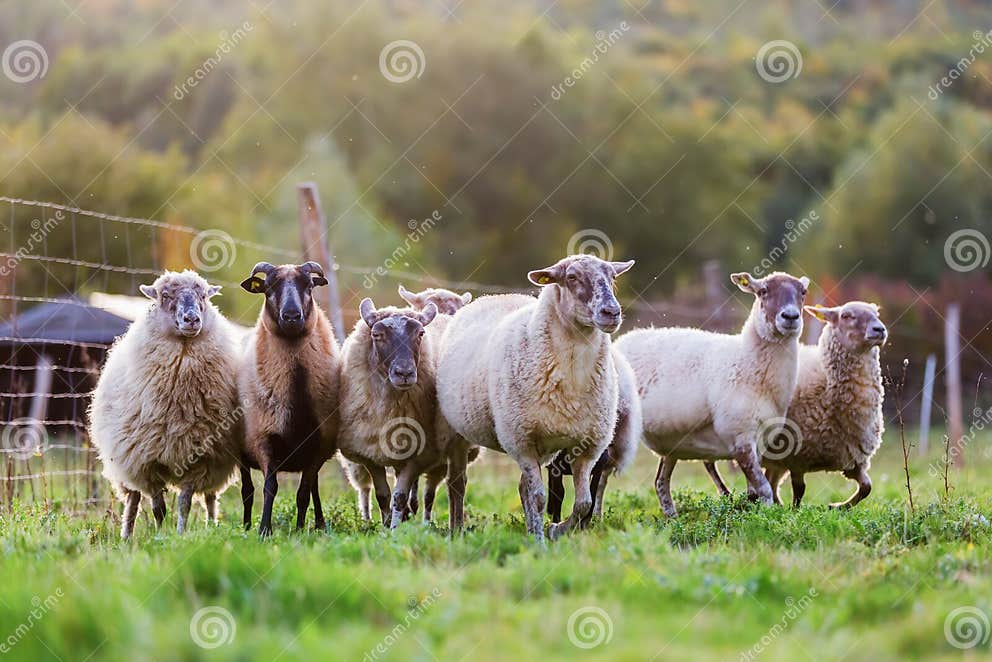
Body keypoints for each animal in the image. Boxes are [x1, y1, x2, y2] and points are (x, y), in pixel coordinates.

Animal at [89, 270, 242, 540]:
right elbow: (158, 507)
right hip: (126, 463)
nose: (192, 319)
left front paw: (179, 535)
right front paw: (159, 535)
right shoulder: (146, 463)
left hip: (215, 466)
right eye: (165, 295)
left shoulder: (200, 460)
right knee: (133, 500)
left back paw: (211, 526)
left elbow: (184, 503)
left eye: (204, 295)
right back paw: (126, 536)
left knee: (210, 498)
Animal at [238, 261, 340, 537]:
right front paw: (264, 530)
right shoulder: (263, 440)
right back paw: (246, 526)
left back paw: (320, 524)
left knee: (313, 487)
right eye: (269, 288)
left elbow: (304, 492)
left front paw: (300, 529)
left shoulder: (319, 445)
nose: (292, 316)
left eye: (309, 285)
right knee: (247, 490)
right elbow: (269, 487)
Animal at [336, 298, 441, 529]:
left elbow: (399, 496)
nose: (404, 373)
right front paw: (385, 526)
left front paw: (395, 528)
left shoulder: (415, 454)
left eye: (420, 333)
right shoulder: (369, 454)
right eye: (377, 335)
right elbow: (383, 496)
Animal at [546, 347, 641, 523]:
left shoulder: (597, 467)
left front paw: (585, 524)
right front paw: (556, 521)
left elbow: (593, 493)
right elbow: (559, 494)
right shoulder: (556, 468)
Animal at [614, 271, 809, 517]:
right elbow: (764, 489)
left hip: (671, 442)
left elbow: (753, 491)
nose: (790, 316)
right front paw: (764, 519)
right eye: (763, 291)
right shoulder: (739, 436)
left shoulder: (760, 441)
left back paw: (672, 519)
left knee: (660, 482)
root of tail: (624, 339)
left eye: (803, 292)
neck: (746, 361)